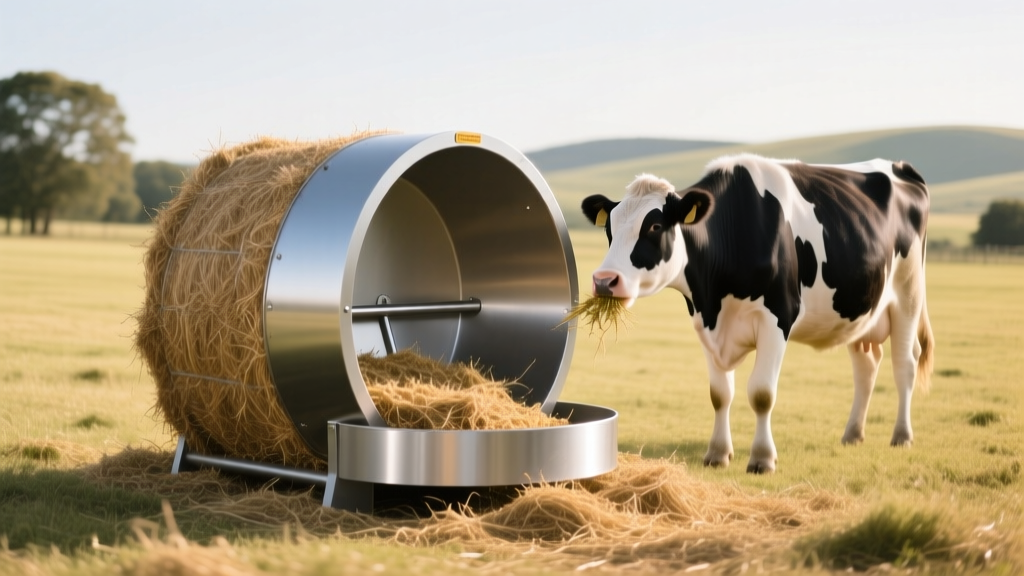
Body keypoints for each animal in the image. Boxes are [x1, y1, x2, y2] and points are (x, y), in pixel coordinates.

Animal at [581, 153, 934, 473]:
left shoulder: (777, 318)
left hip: (908, 293)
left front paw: (762, 459)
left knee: (905, 363)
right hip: (859, 310)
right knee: (866, 365)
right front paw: (717, 454)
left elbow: (762, 393)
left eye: (654, 225)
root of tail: (901, 166)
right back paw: (853, 434)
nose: (604, 280)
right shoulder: (705, 322)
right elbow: (720, 394)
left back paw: (902, 436)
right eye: (609, 227)